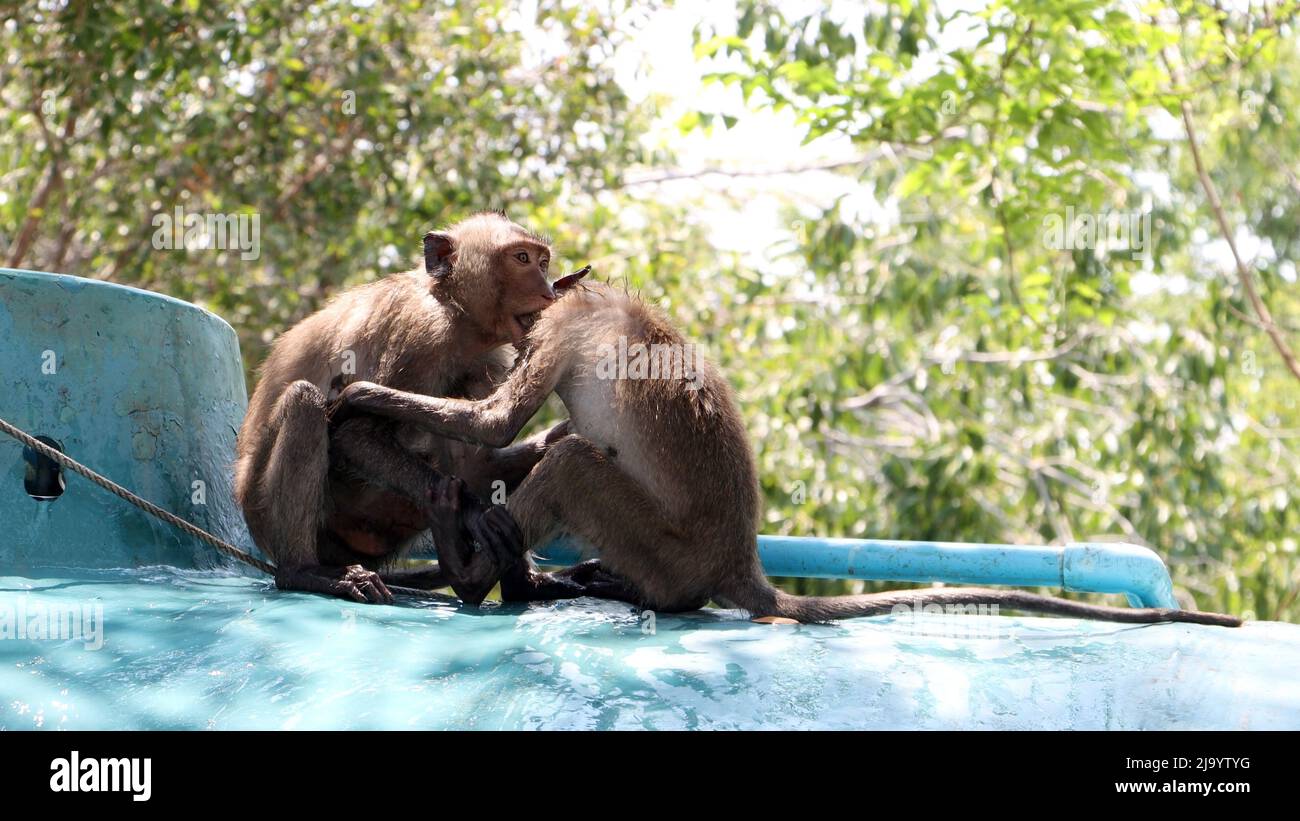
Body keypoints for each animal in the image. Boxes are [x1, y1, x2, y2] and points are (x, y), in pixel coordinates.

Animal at [233, 211, 592, 606]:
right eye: (522, 259)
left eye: (543, 263)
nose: (548, 291)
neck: (452, 309)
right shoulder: (420, 333)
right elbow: (356, 435)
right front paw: (474, 514)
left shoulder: (485, 357)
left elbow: (482, 460)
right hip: (276, 510)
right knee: (303, 401)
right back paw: (303, 571)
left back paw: (521, 584)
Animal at [328, 275, 1242, 627]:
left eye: (523, 315)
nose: (512, 331)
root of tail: (739, 561)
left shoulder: (562, 333)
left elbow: (494, 422)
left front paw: (361, 398)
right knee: (574, 454)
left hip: (671, 547)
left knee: (580, 465)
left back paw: (480, 572)